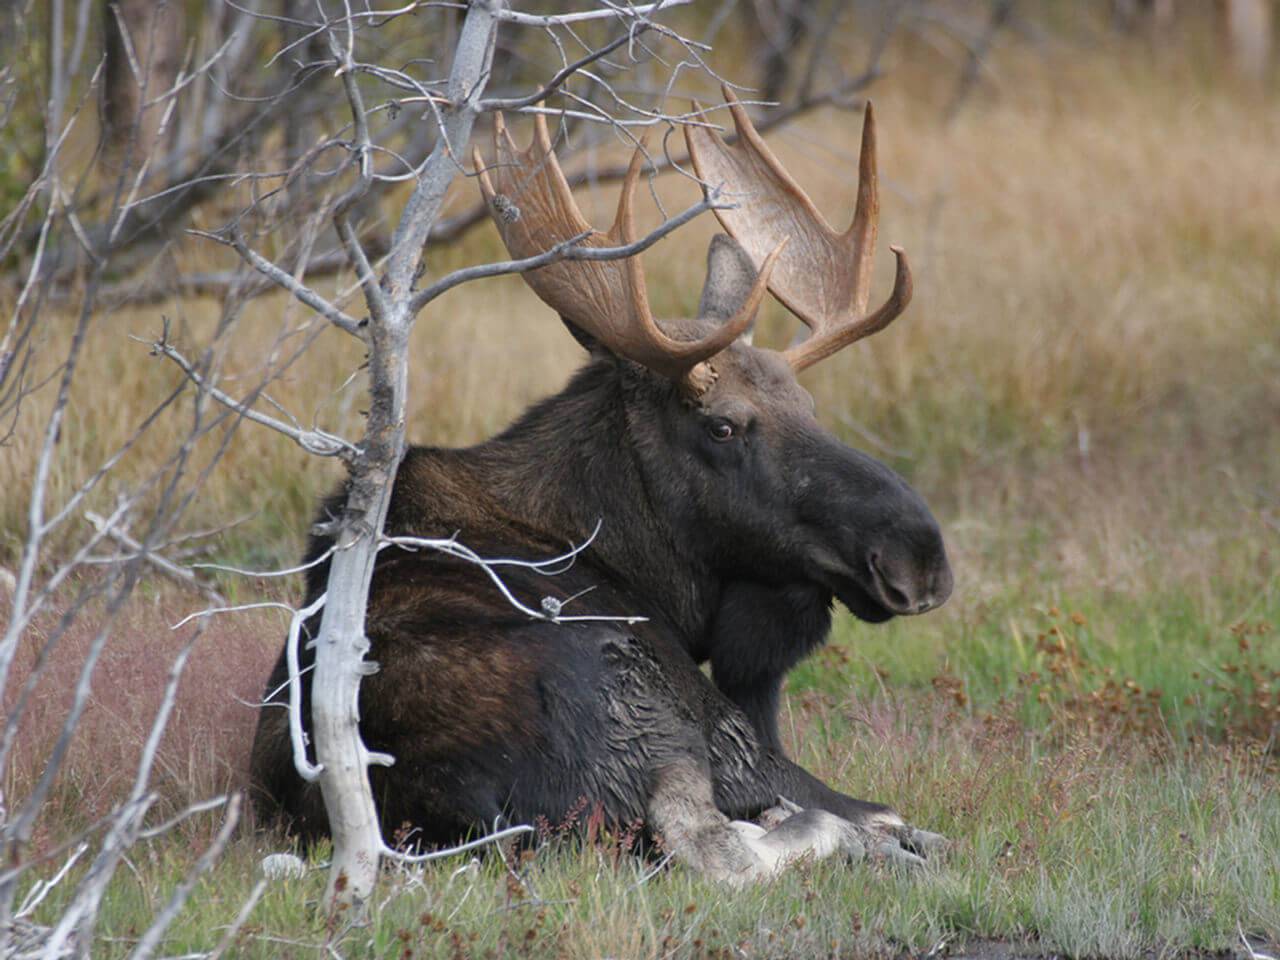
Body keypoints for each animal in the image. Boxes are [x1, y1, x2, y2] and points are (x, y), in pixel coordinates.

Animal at [249, 94, 952, 885]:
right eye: (722, 426)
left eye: (809, 405)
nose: (918, 557)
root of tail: (476, 813)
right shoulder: (722, 715)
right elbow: (887, 813)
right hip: (671, 721)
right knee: (743, 838)